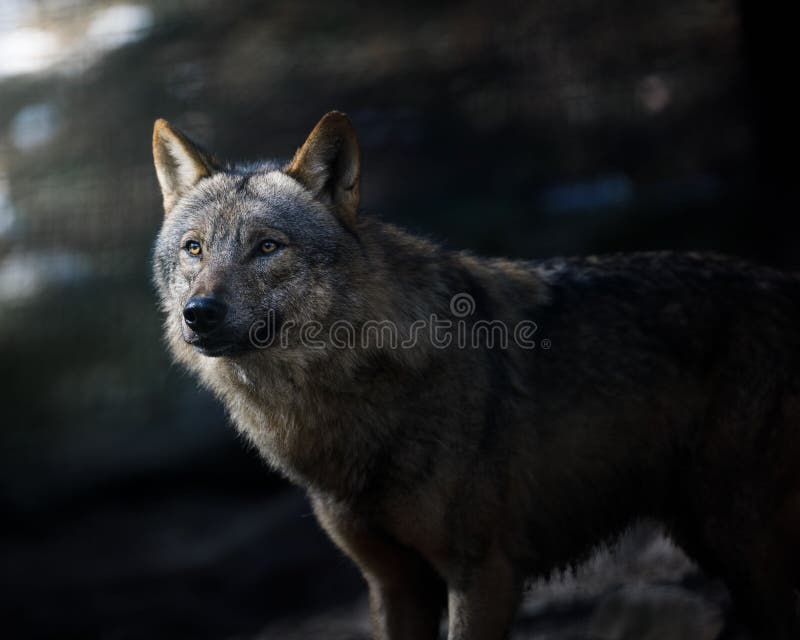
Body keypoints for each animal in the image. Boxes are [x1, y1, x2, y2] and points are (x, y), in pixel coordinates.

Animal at [152, 111, 800, 639]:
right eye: (194, 249)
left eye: (267, 247)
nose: (199, 313)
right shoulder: (393, 585)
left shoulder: (482, 572)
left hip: (741, 543)